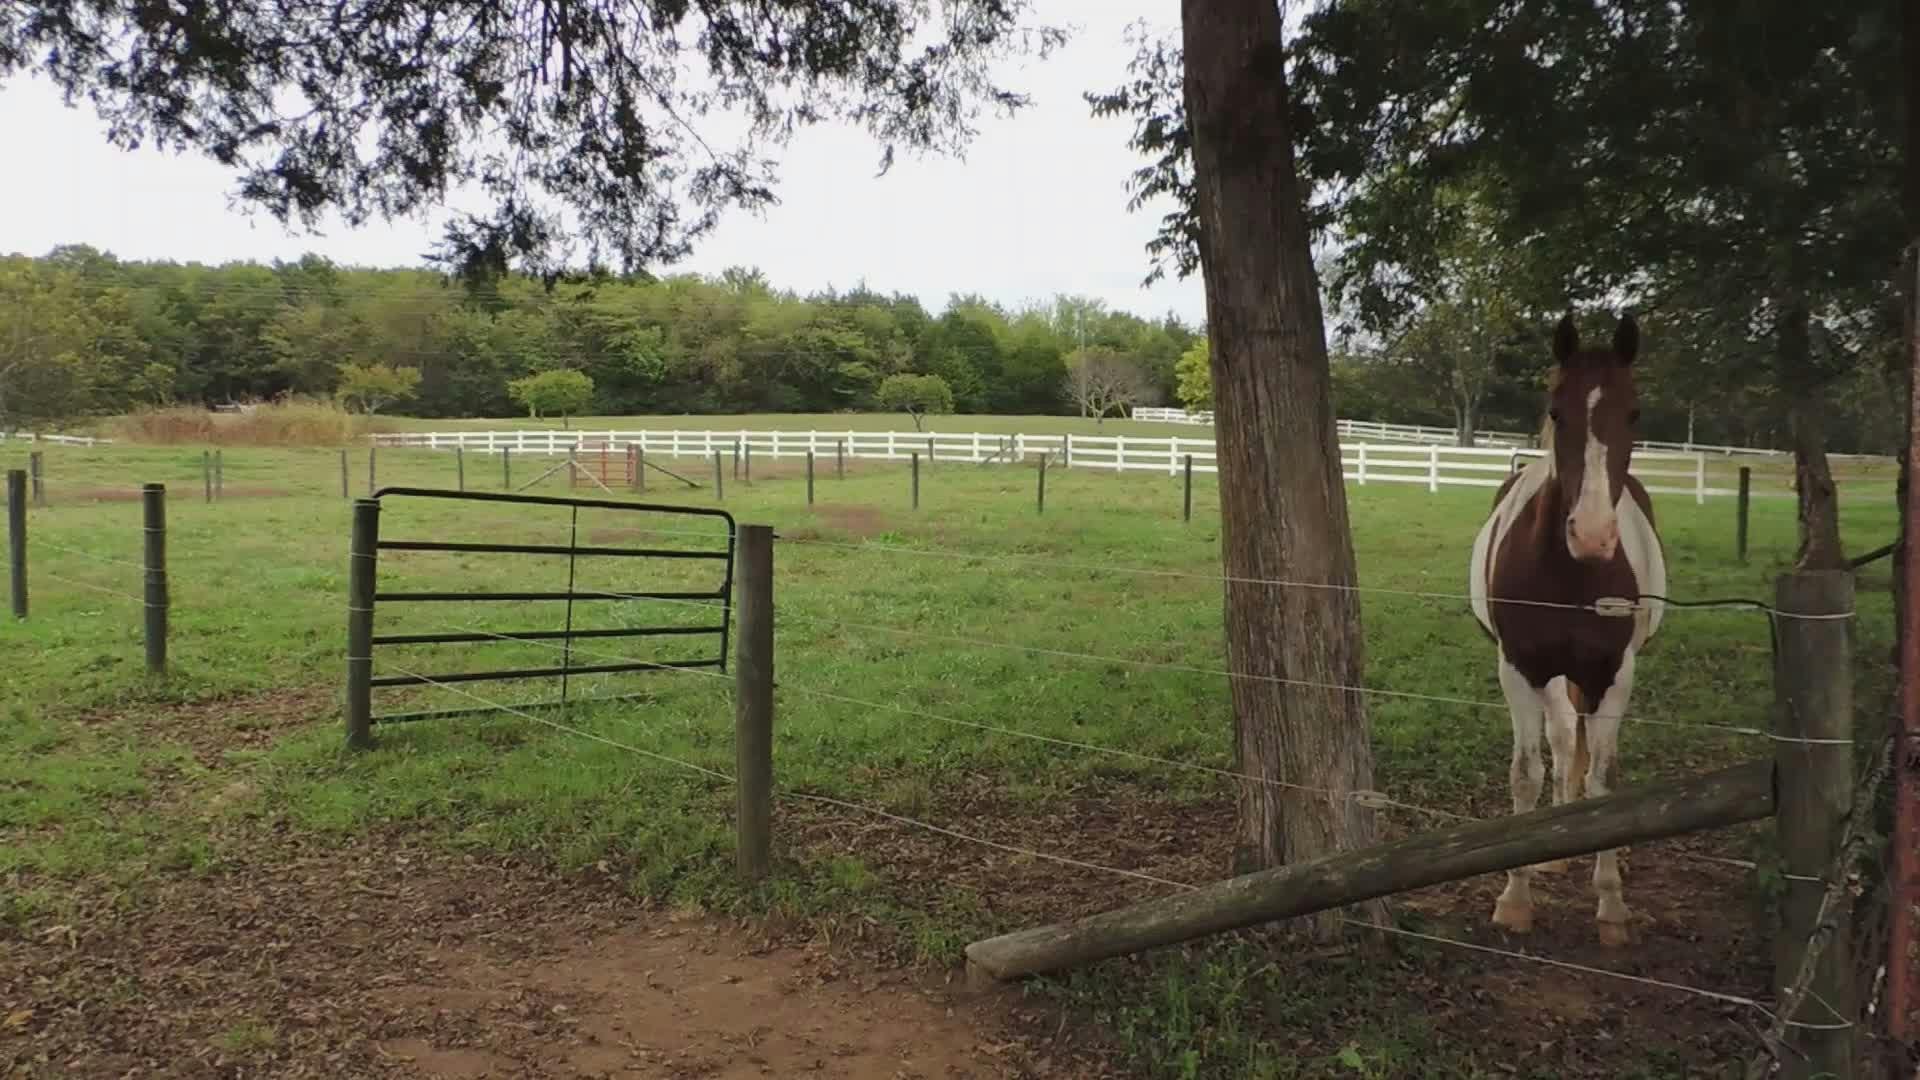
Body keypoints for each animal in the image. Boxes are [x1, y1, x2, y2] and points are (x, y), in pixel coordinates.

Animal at [1467, 311, 1667, 947]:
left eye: (1635, 413)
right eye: (1557, 412)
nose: (1594, 535)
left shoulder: (1613, 675)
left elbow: (1603, 780)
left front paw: (1611, 905)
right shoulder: (1519, 668)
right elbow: (1526, 774)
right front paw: (1515, 897)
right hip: (1552, 676)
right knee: (1558, 739)